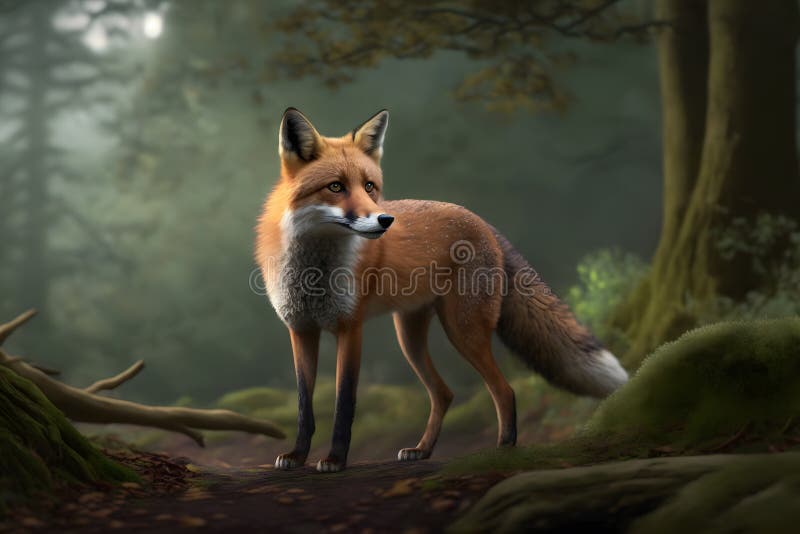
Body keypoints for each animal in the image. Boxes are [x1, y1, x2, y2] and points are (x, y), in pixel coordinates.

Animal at [255, 108, 628, 473]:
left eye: (370, 186)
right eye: (335, 186)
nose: (384, 220)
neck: (315, 272)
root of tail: (482, 221)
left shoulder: (350, 327)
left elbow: (344, 403)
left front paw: (335, 459)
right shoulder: (301, 329)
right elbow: (304, 405)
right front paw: (297, 456)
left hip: (463, 330)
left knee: (504, 391)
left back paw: (502, 451)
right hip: (410, 336)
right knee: (444, 393)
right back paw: (422, 449)